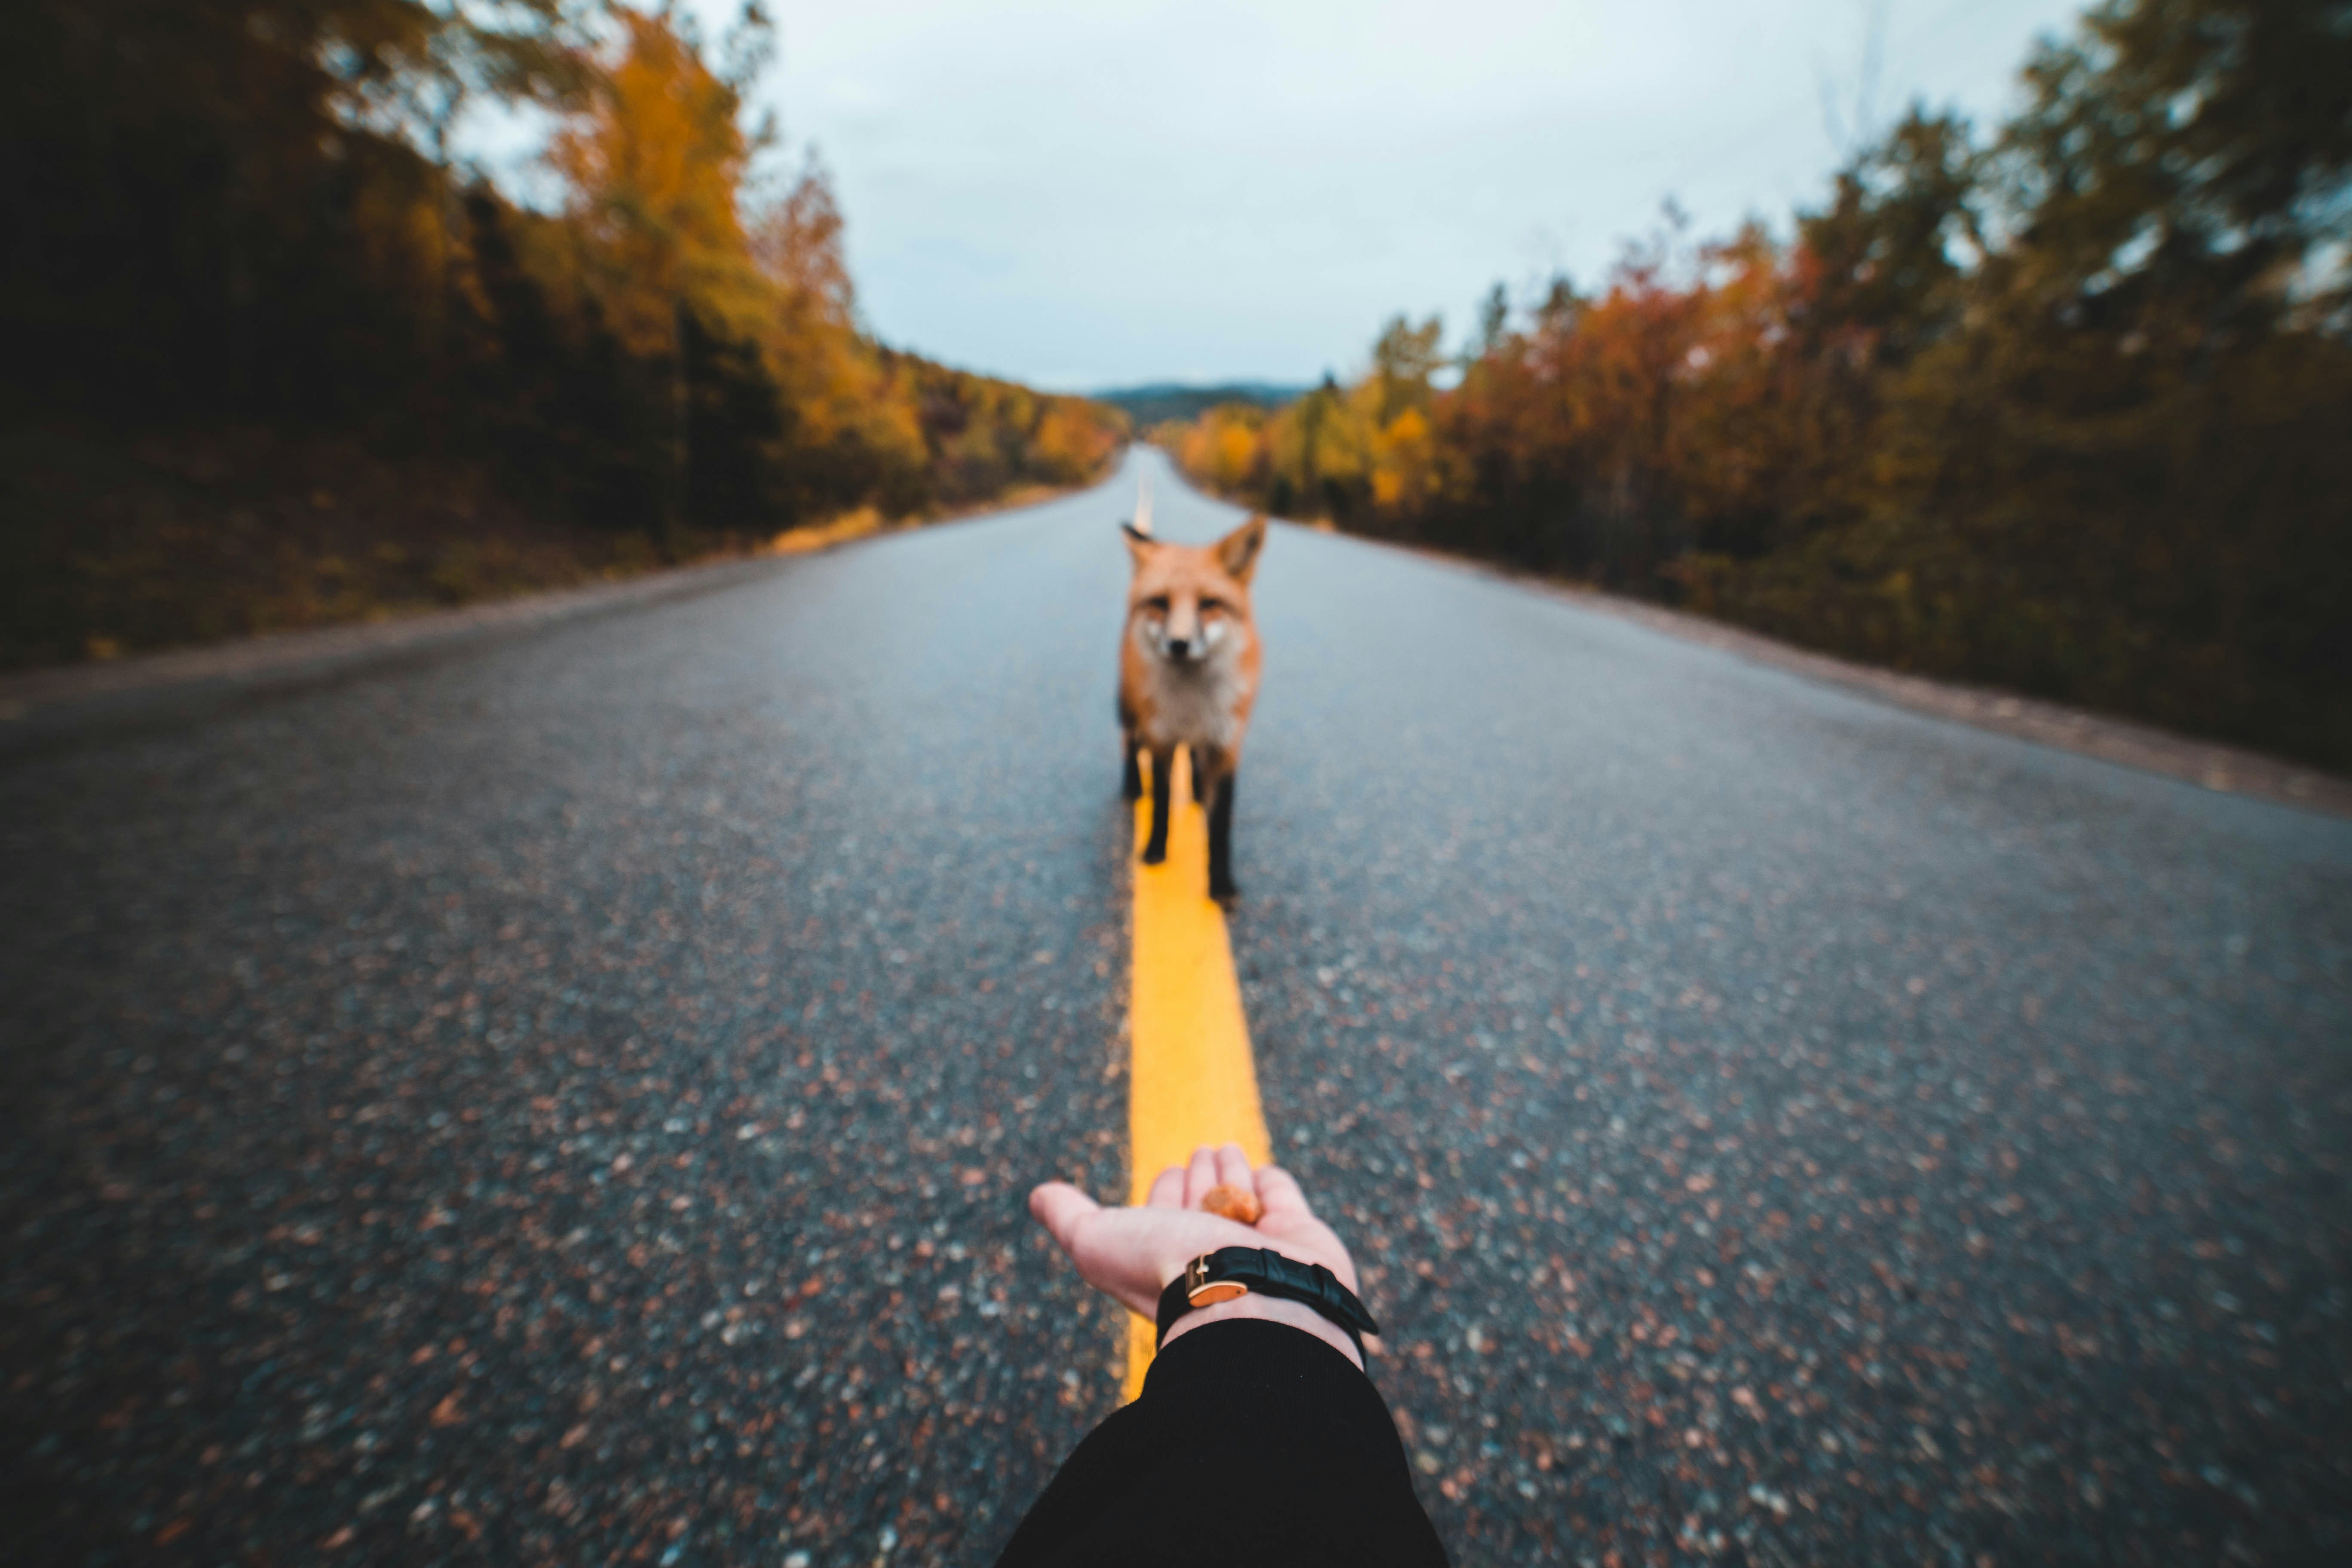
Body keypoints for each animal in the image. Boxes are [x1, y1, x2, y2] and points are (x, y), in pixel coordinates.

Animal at [1117, 480, 1267, 903]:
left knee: (1196, 763)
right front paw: (1155, 851)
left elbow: (1221, 828)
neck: (1191, 708)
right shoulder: (1162, 739)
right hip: (1130, 709)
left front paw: (1221, 883)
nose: (1179, 645)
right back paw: (1132, 785)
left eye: (1209, 604)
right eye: (1159, 603)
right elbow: (1162, 805)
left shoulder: (1227, 745)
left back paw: (1199, 791)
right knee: (1130, 744)